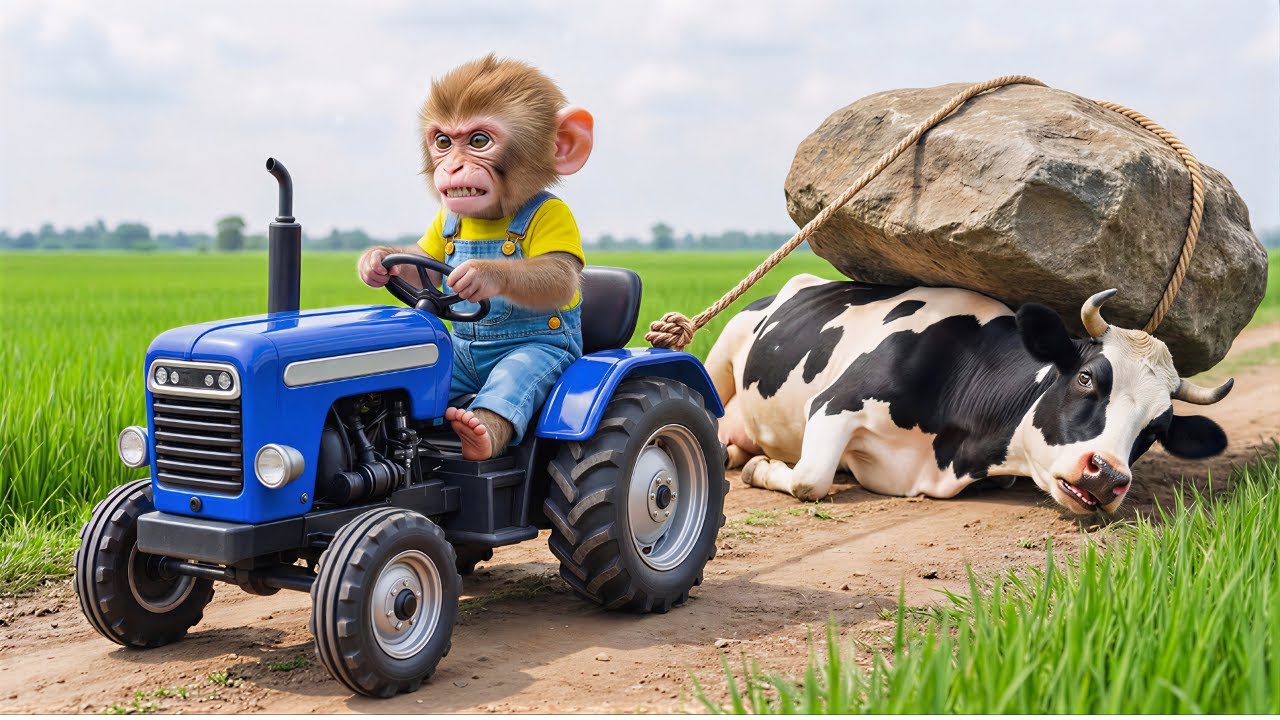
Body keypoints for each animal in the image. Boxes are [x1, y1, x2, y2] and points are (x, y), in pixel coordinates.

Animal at [358, 55, 594, 461]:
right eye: (443, 142)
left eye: (479, 141)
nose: (451, 167)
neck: (490, 218)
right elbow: (419, 256)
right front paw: (373, 261)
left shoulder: (556, 216)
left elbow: (559, 274)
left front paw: (479, 274)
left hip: (554, 366)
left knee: (513, 382)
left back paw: (478, 433)